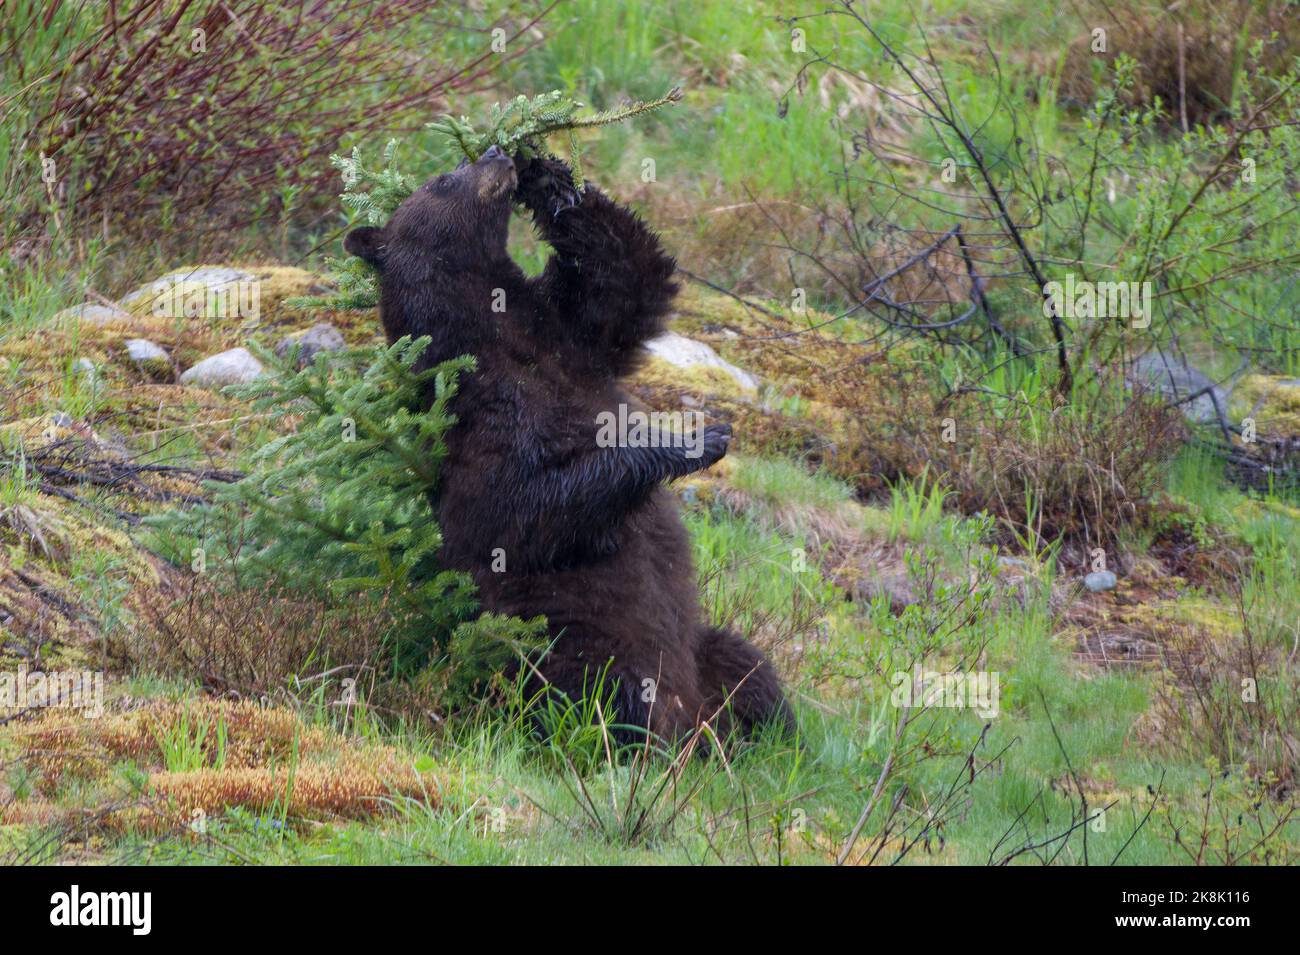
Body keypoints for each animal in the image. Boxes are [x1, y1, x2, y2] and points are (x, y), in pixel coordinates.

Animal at [344, 144, 794, 745]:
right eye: (441, 177)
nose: (493, 152)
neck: (491, 333)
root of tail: (693, 722)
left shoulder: (567, 336)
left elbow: (628, 279)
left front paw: (548, 172)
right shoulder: (481, 425)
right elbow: (533, 506)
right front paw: (694, 439)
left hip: (704, 650)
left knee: (749, 665)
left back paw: (772, 735)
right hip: (573, 641)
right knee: (601, 692)